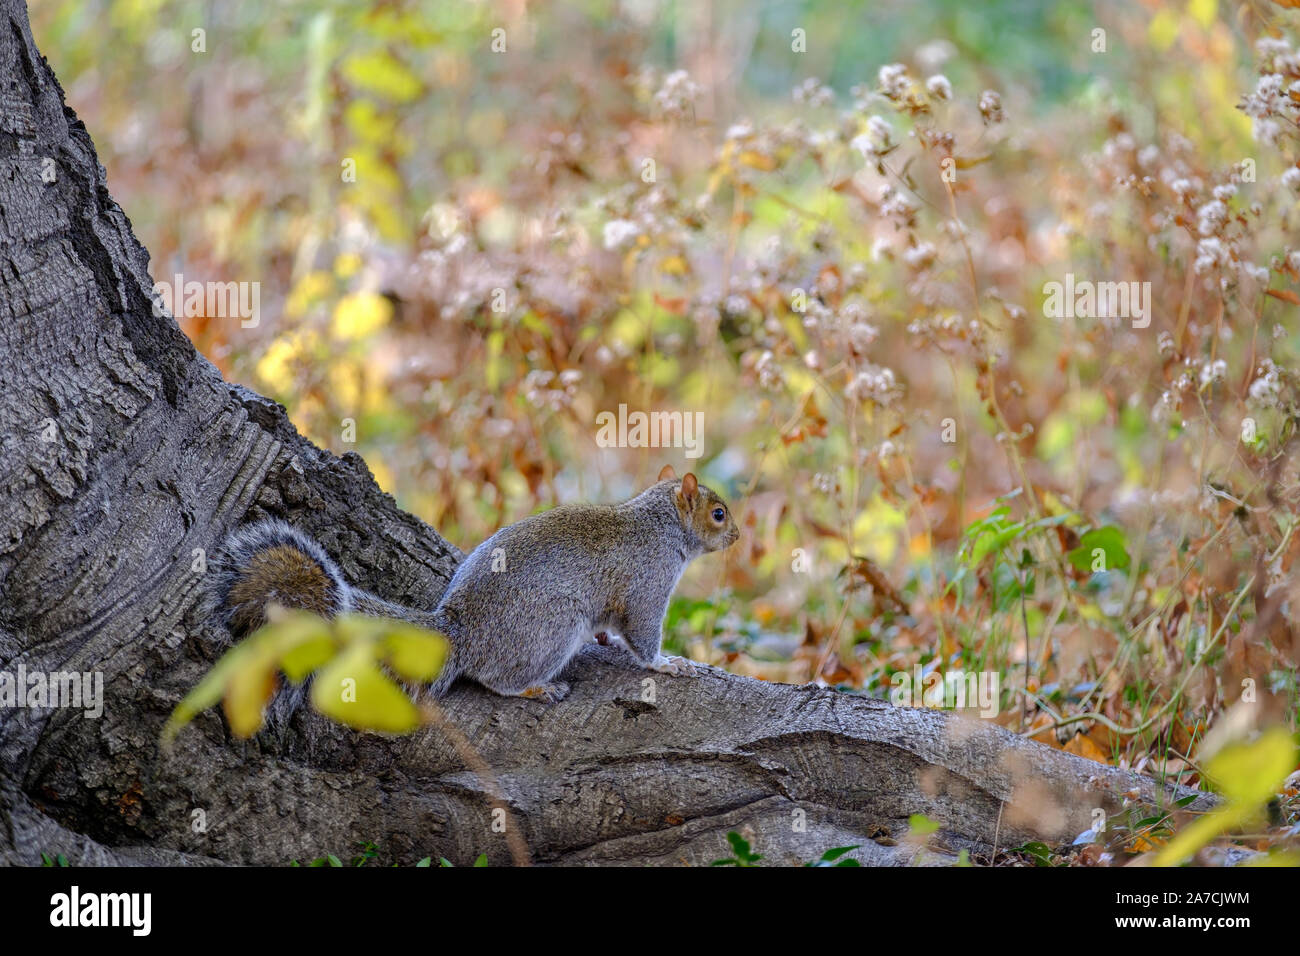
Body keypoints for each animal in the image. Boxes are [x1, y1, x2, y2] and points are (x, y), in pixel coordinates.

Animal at [209, 466, 738, 704]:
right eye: (718, 514)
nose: (736, 536)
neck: (661, 525)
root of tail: (460, 630)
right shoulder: (648, 583)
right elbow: (643, 634)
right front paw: (668, 664)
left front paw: (610, 640)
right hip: (553, 625)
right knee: (497, 680)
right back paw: (537, 689)